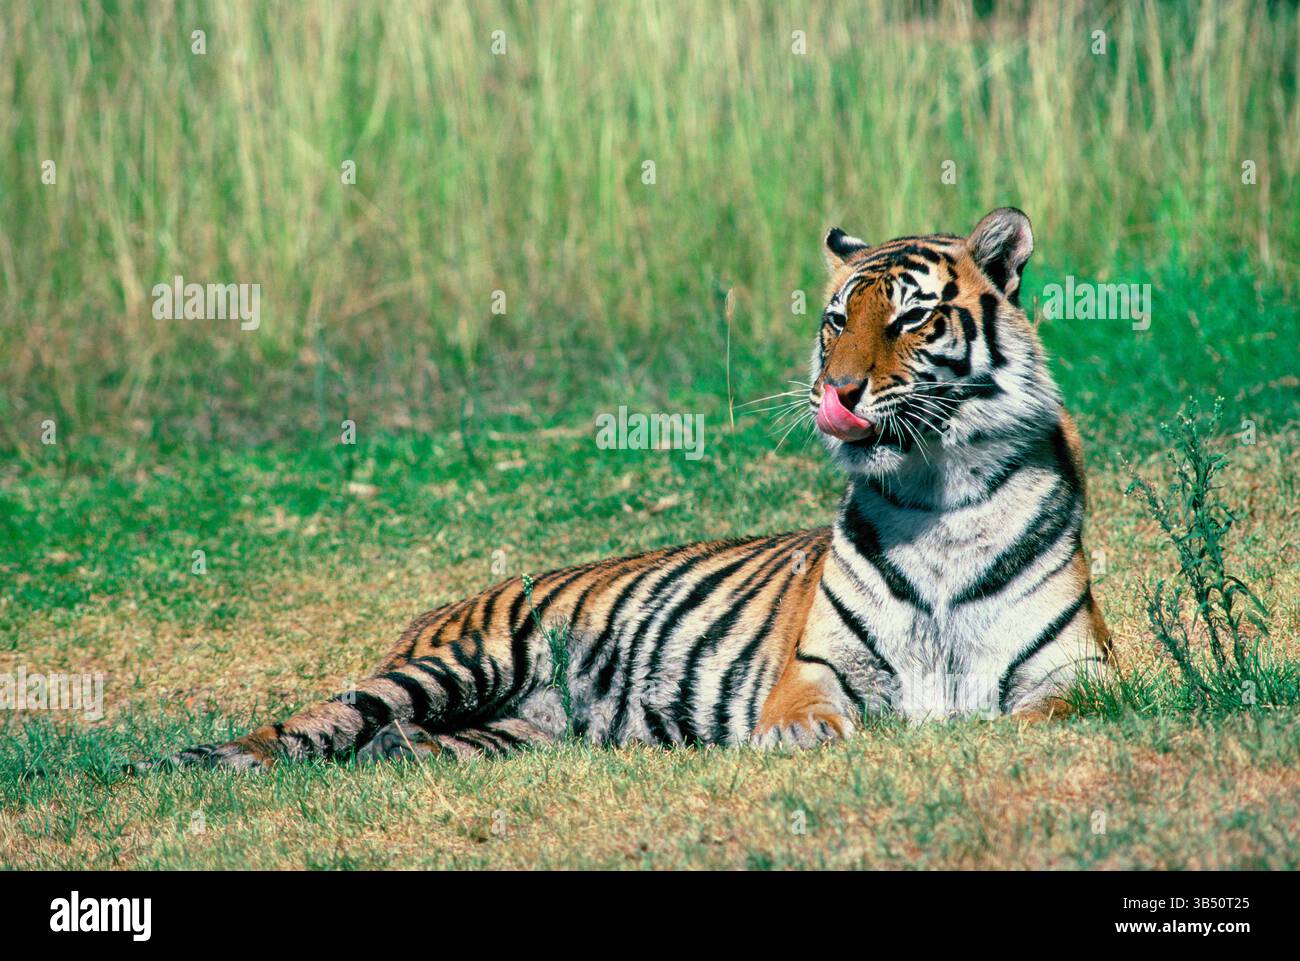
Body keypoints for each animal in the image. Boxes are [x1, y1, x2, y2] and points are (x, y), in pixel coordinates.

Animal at [141, 207, 1113, 771]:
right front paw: (798, 738)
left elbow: (1056, 711)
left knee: (403, 739)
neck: (935, 488)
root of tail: (439, 606)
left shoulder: (1077, 669)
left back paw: (402, 754)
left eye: (911, 318)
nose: (833, 390)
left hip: (519, 727)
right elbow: (807, 709)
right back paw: (204, 759)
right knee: (310, 724)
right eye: (837, 319)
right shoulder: (813, 666)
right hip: (456, 661)